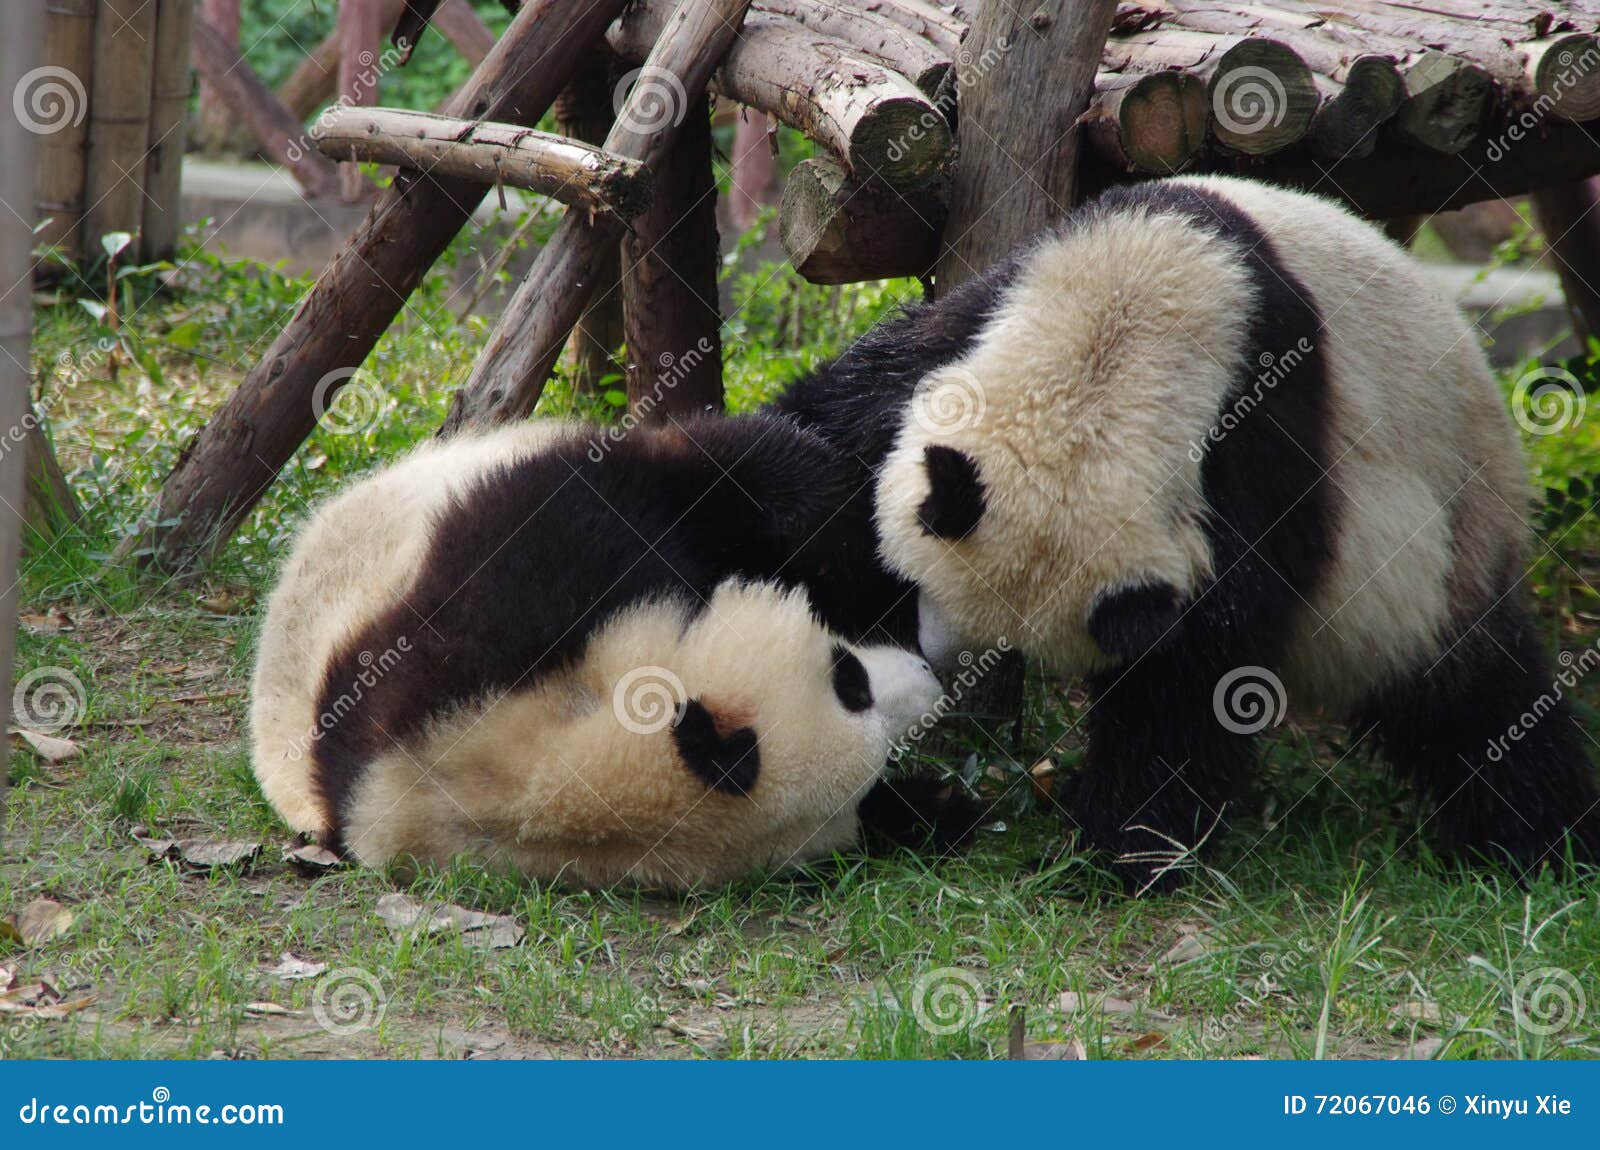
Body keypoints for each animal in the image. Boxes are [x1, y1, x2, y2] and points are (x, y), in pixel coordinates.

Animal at [774, 174, 1600, 886]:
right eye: (918, 582)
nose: (935, 655)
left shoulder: (1269, 428)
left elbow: (1204, 660)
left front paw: (1122, 846)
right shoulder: (1002, 300)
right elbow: (846, 415)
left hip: (1444, 533)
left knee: (1475, 699)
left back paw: (1543, 840)